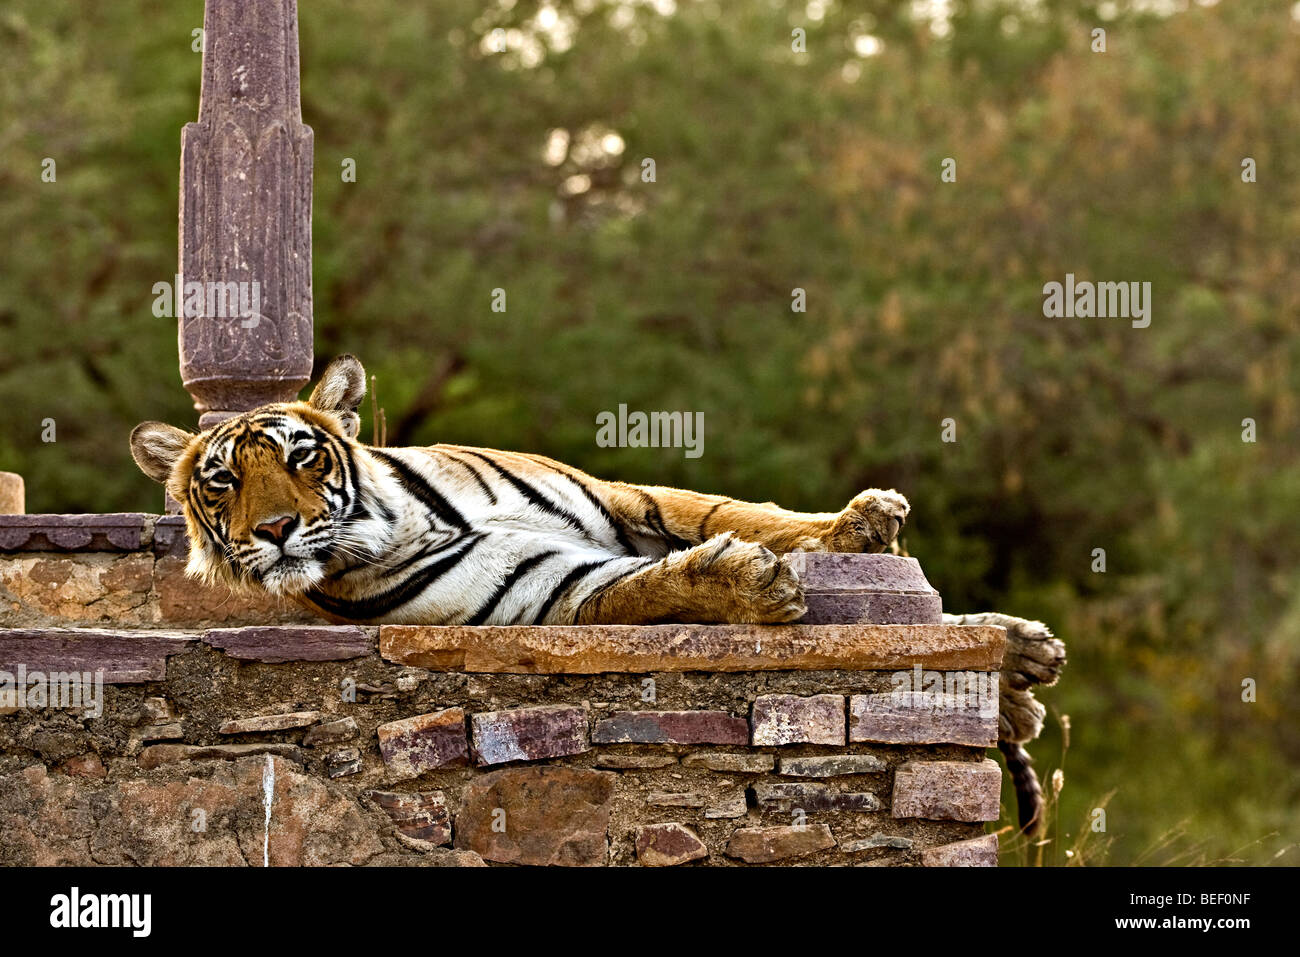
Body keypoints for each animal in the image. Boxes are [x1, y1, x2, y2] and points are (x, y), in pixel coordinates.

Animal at [130, 354, 1065, 833]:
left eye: (300, 456)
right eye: (222, 480)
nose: (275, 529)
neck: (394, 515)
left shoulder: (623, 497)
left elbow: (738, 511)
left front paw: (861, 521)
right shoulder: (548, 589)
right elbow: (647, 585)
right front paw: (750, 580)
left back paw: (1021, 659)